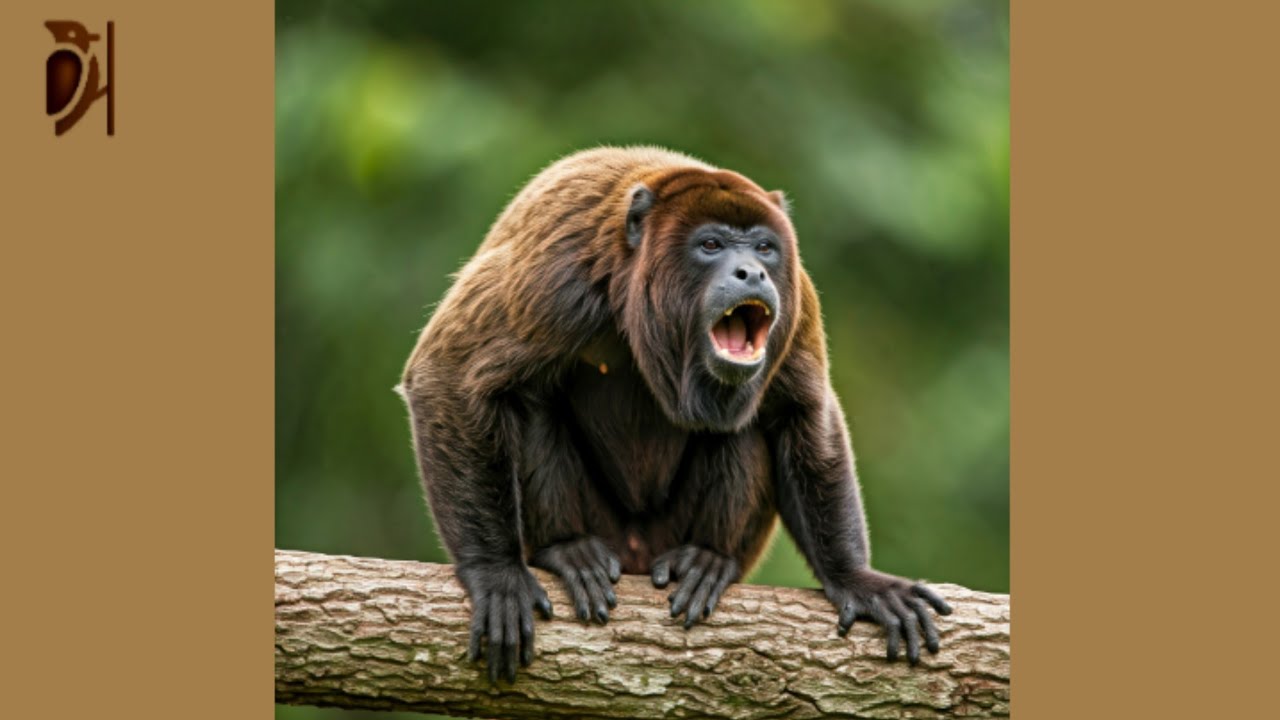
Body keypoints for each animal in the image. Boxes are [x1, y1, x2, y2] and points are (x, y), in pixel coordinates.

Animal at [399, 146, 952, 684]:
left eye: (764, 248)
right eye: (711, 245)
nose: (752, 272)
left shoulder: (799, 297)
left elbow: (805, 411)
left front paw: (856, 579)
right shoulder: (556, 271)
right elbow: (446, 374)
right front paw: (494, 571)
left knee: (744, 429)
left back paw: (706, 559)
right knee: (530, 404)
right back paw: (569, 549)